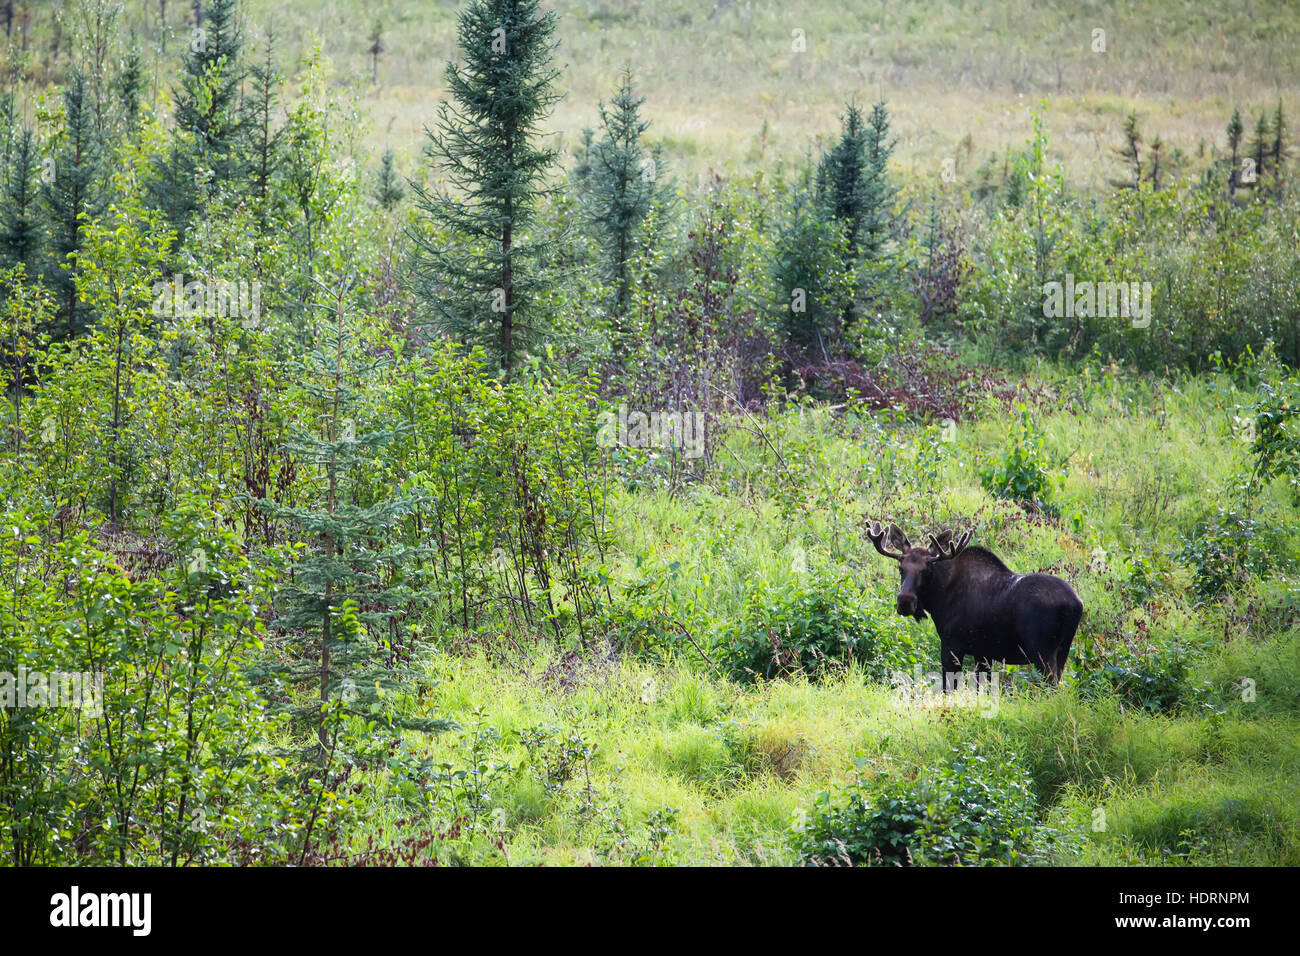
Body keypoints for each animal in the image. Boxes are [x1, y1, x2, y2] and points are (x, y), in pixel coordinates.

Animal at [865, 520, 1083, 686]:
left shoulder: (952, 645)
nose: (905, 601)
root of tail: (1077, 605)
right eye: (900, 567)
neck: (940, 598)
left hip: (1042, 652)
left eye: (927, 569)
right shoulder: (983, 653)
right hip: (1063, 651)